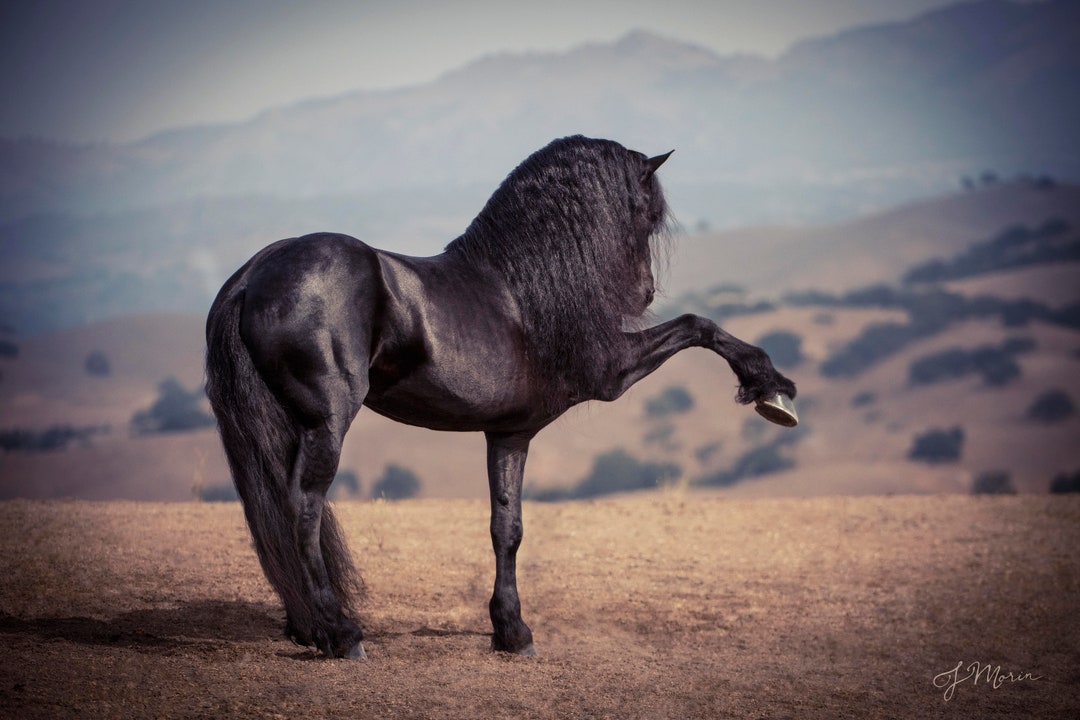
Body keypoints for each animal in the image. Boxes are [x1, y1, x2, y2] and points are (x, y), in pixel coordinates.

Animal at [205, 135, 797, 660]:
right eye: (643, 213)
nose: (644, 292)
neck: (520, 286)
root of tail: (255, 274)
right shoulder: (610, 372)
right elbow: (699, 325)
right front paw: (771, 388)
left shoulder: (510, 432)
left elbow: (506, 528)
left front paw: (512, 632)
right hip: (326, 422)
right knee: (303, 508)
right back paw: (339, 634)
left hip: (290, 424)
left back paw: (306, 627)